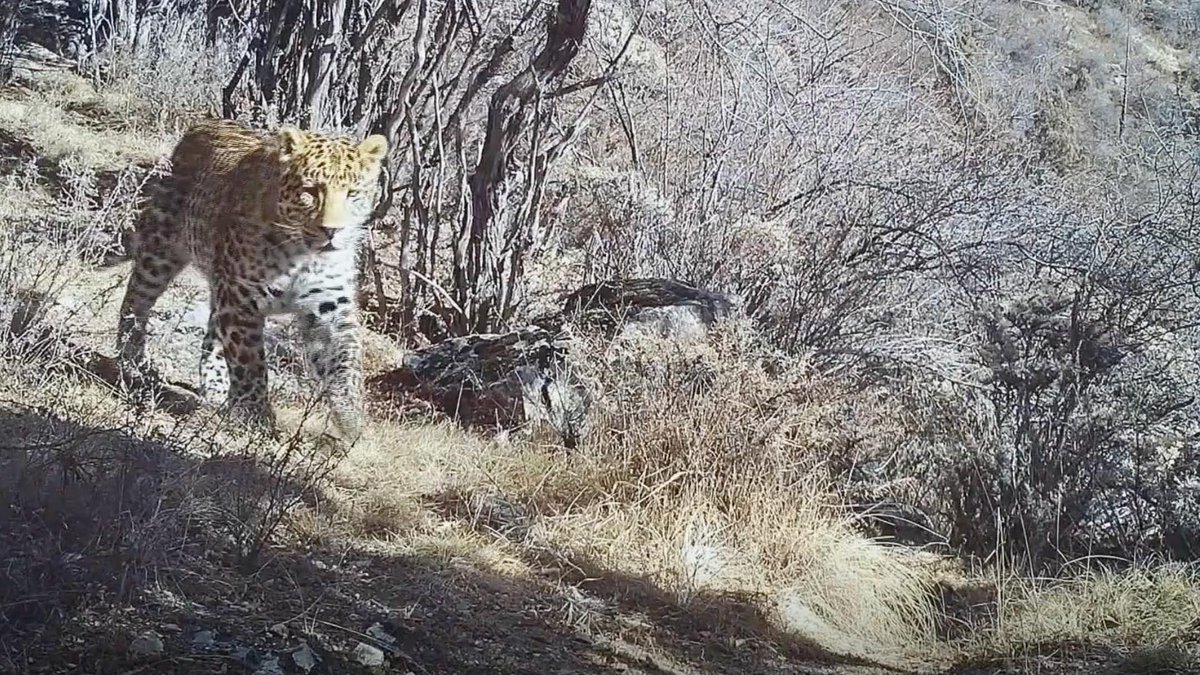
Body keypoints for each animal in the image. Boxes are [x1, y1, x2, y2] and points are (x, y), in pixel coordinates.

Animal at [115, 118, 389, 441]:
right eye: (310, 191)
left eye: (352, 193)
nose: (332, 231)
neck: (302, 255)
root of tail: (207, 122)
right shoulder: (241, 297)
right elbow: (250, 363)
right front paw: (257, 417)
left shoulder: (329, 303)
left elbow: (344, 361)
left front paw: (352, 425)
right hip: (160, 251)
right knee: (137, 299)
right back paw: (132, 357)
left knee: (212, 336)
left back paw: (216, 390)